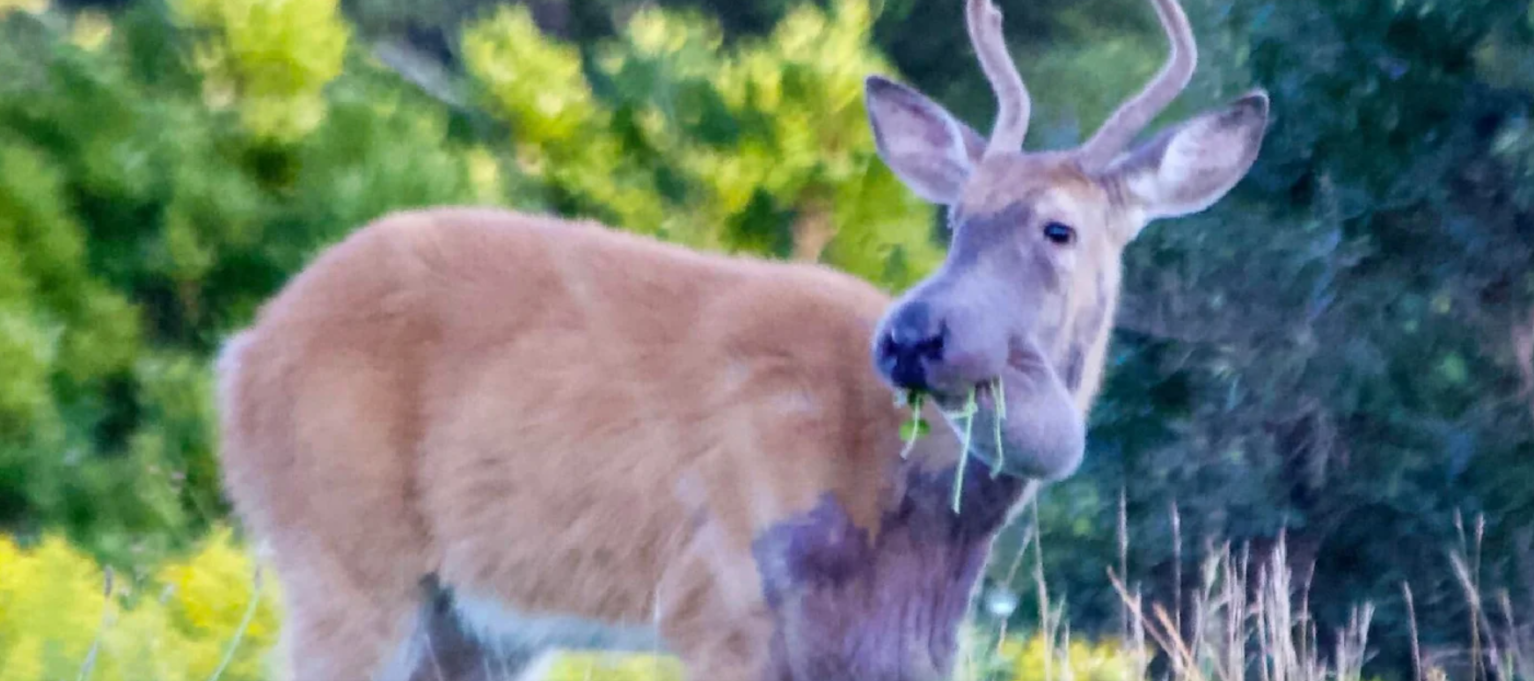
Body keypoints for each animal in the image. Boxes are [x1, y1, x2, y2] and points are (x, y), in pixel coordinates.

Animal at [213, 0, 1268, 679]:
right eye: (955, 216)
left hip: (468, 624)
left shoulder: (897, 649)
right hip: (344, 556)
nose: (912, 335)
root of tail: (242, 353)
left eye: (1059, 228)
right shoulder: (718, 598)